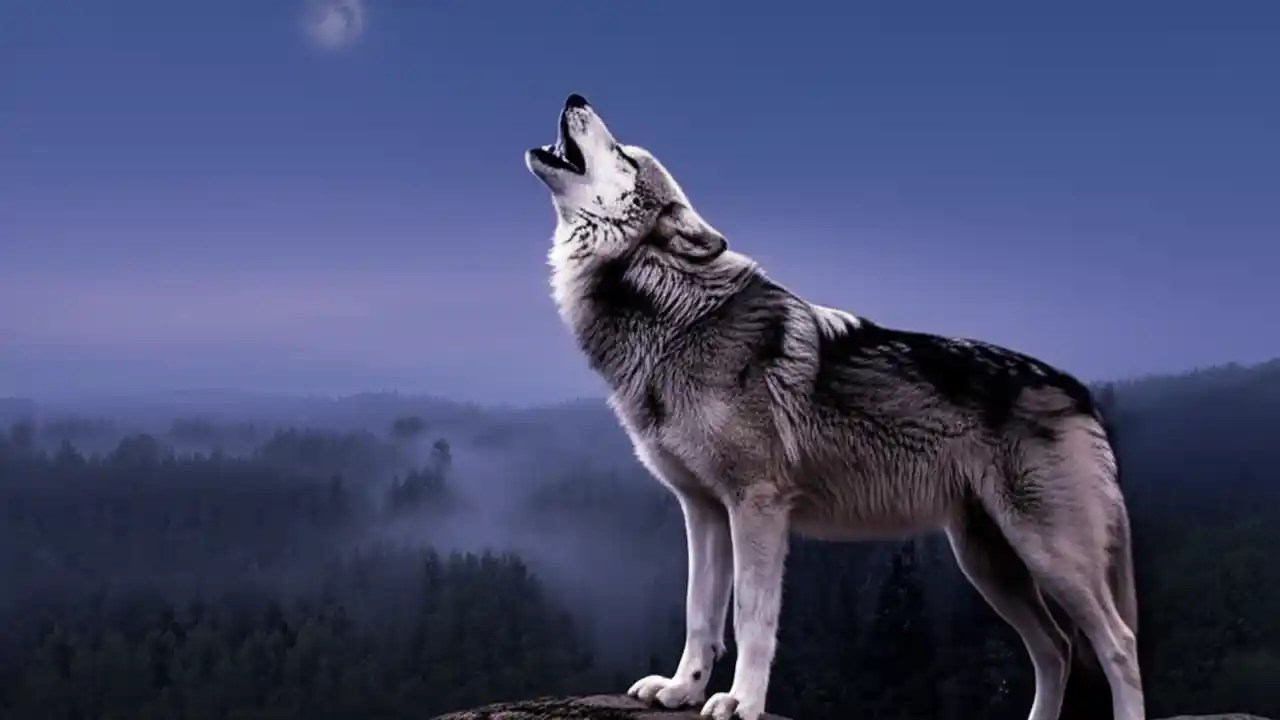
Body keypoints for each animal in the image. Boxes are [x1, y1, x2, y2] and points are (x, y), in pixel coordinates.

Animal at [524, 93, 1144, 720]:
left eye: (624, 154)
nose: (575, 97)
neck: (669, 314)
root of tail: (1080, 391)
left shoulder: (757, 506)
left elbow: (751, 619)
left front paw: (741, 701)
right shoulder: (703, 511)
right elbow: (699, 614)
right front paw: (683, 690)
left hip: (1049, 558)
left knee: (1117, 645)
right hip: (989, 564)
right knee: (1057, 649)